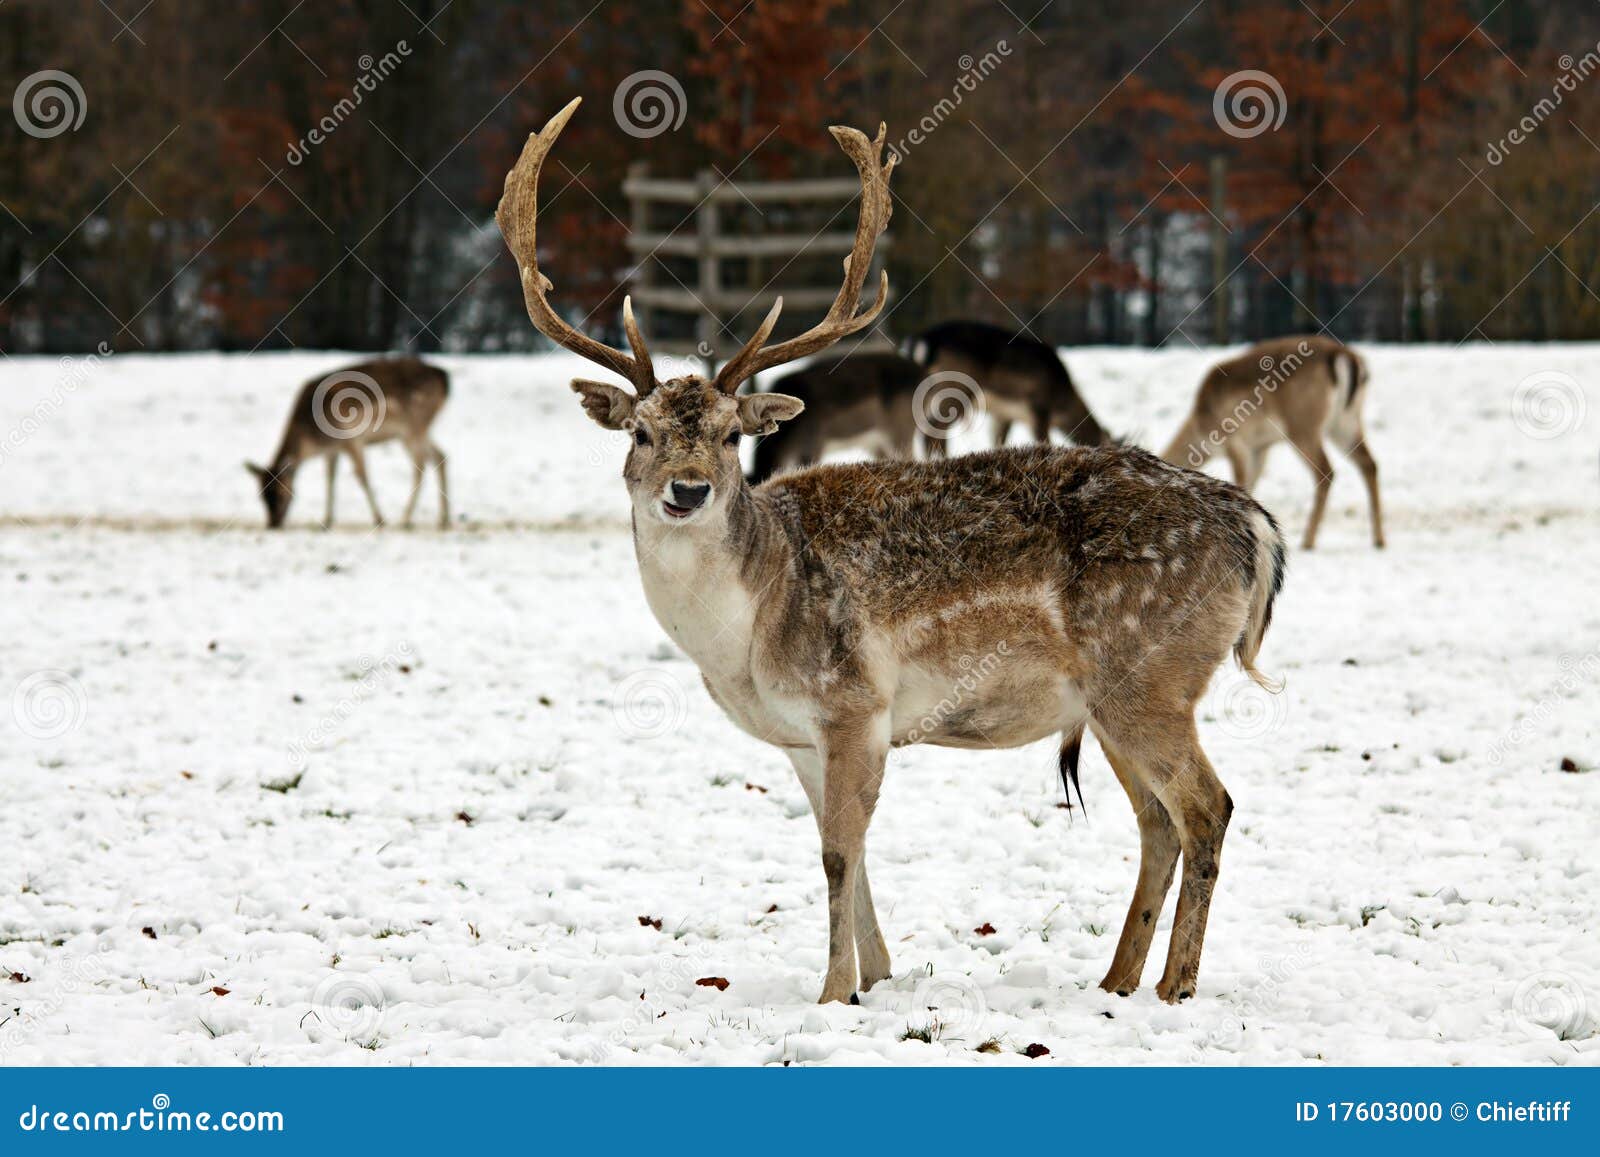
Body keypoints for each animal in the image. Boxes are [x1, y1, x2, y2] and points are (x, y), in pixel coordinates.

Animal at [245, 356, 450, 530]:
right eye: (261, 495)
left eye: (280, 493)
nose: (273, 524)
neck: (313, 440)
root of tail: (444, 377)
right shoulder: (332, 450)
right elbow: (330, 479)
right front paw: (327, 520)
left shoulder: (351, 439)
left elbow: (362, 476)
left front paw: (380, 519)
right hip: (416, 430)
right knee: (440, 455)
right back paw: (443, 519)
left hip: (414, 426)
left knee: (421, 464)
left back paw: (406, 519)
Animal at [909, 319, 1113, 449]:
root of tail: (925, 341)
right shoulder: (1039, 407)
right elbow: (1045, 441)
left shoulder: (1004, 414)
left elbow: (998, 442)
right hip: (956, 387)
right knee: (933, 431)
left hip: (924, 391)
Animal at [1161, 335, 1383, 550]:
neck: (1201, 428)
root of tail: (1343, 355)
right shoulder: (1260, 447)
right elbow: (1250, 484)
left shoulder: (1235, 441)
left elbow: (1240, 479)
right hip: (1345, 422)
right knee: (1369, 464)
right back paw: (1379, 539)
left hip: (1303, 424)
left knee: (1325, 471)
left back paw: (1308, 541)